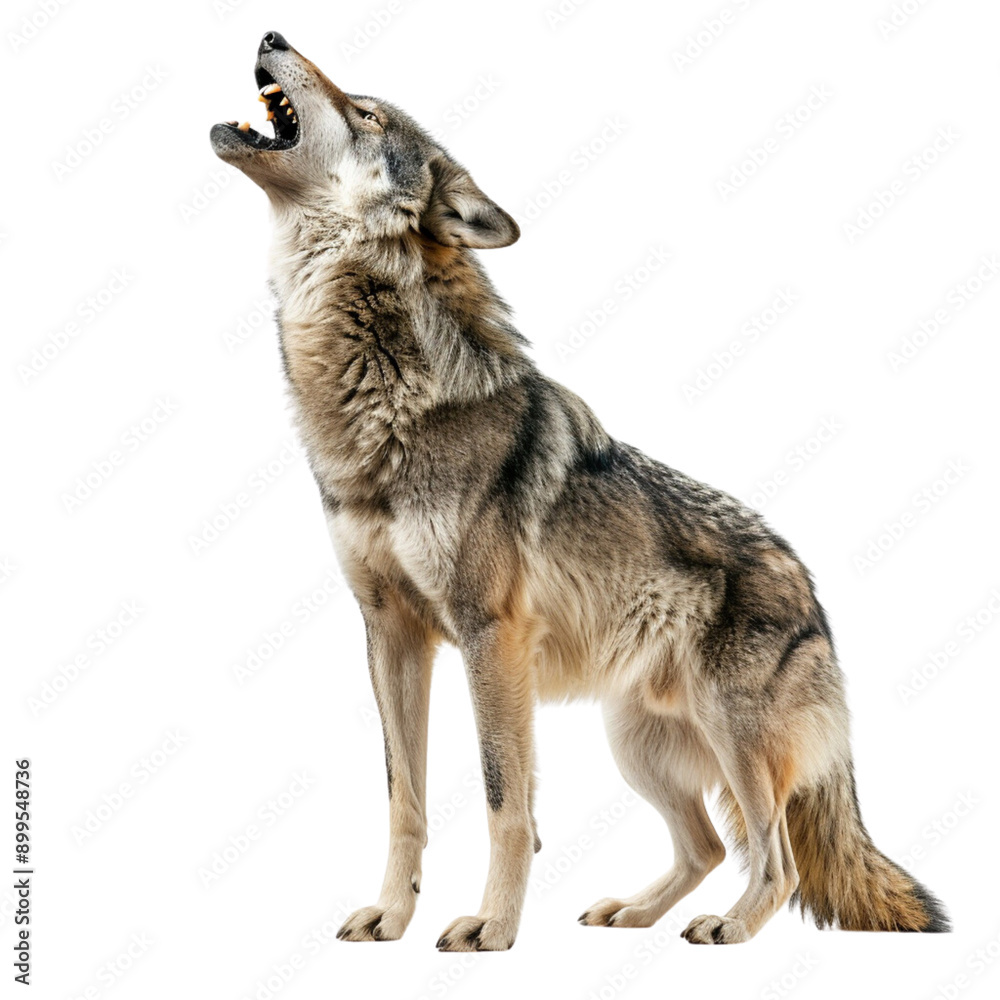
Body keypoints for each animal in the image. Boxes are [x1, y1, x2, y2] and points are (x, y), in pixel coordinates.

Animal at [211, 31, 949, 950]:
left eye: (369, 112)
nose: (272, 36)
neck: (379, 395)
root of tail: (809, 585)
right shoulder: (389, 632)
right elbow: (403, 797)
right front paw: (392, 915)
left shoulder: (490, 636)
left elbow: (505, 801)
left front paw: (492, 928)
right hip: (634, 742)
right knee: (709, 846)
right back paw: (631, 912)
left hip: (731, 739)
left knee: (775, 860)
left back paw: (725, 927)